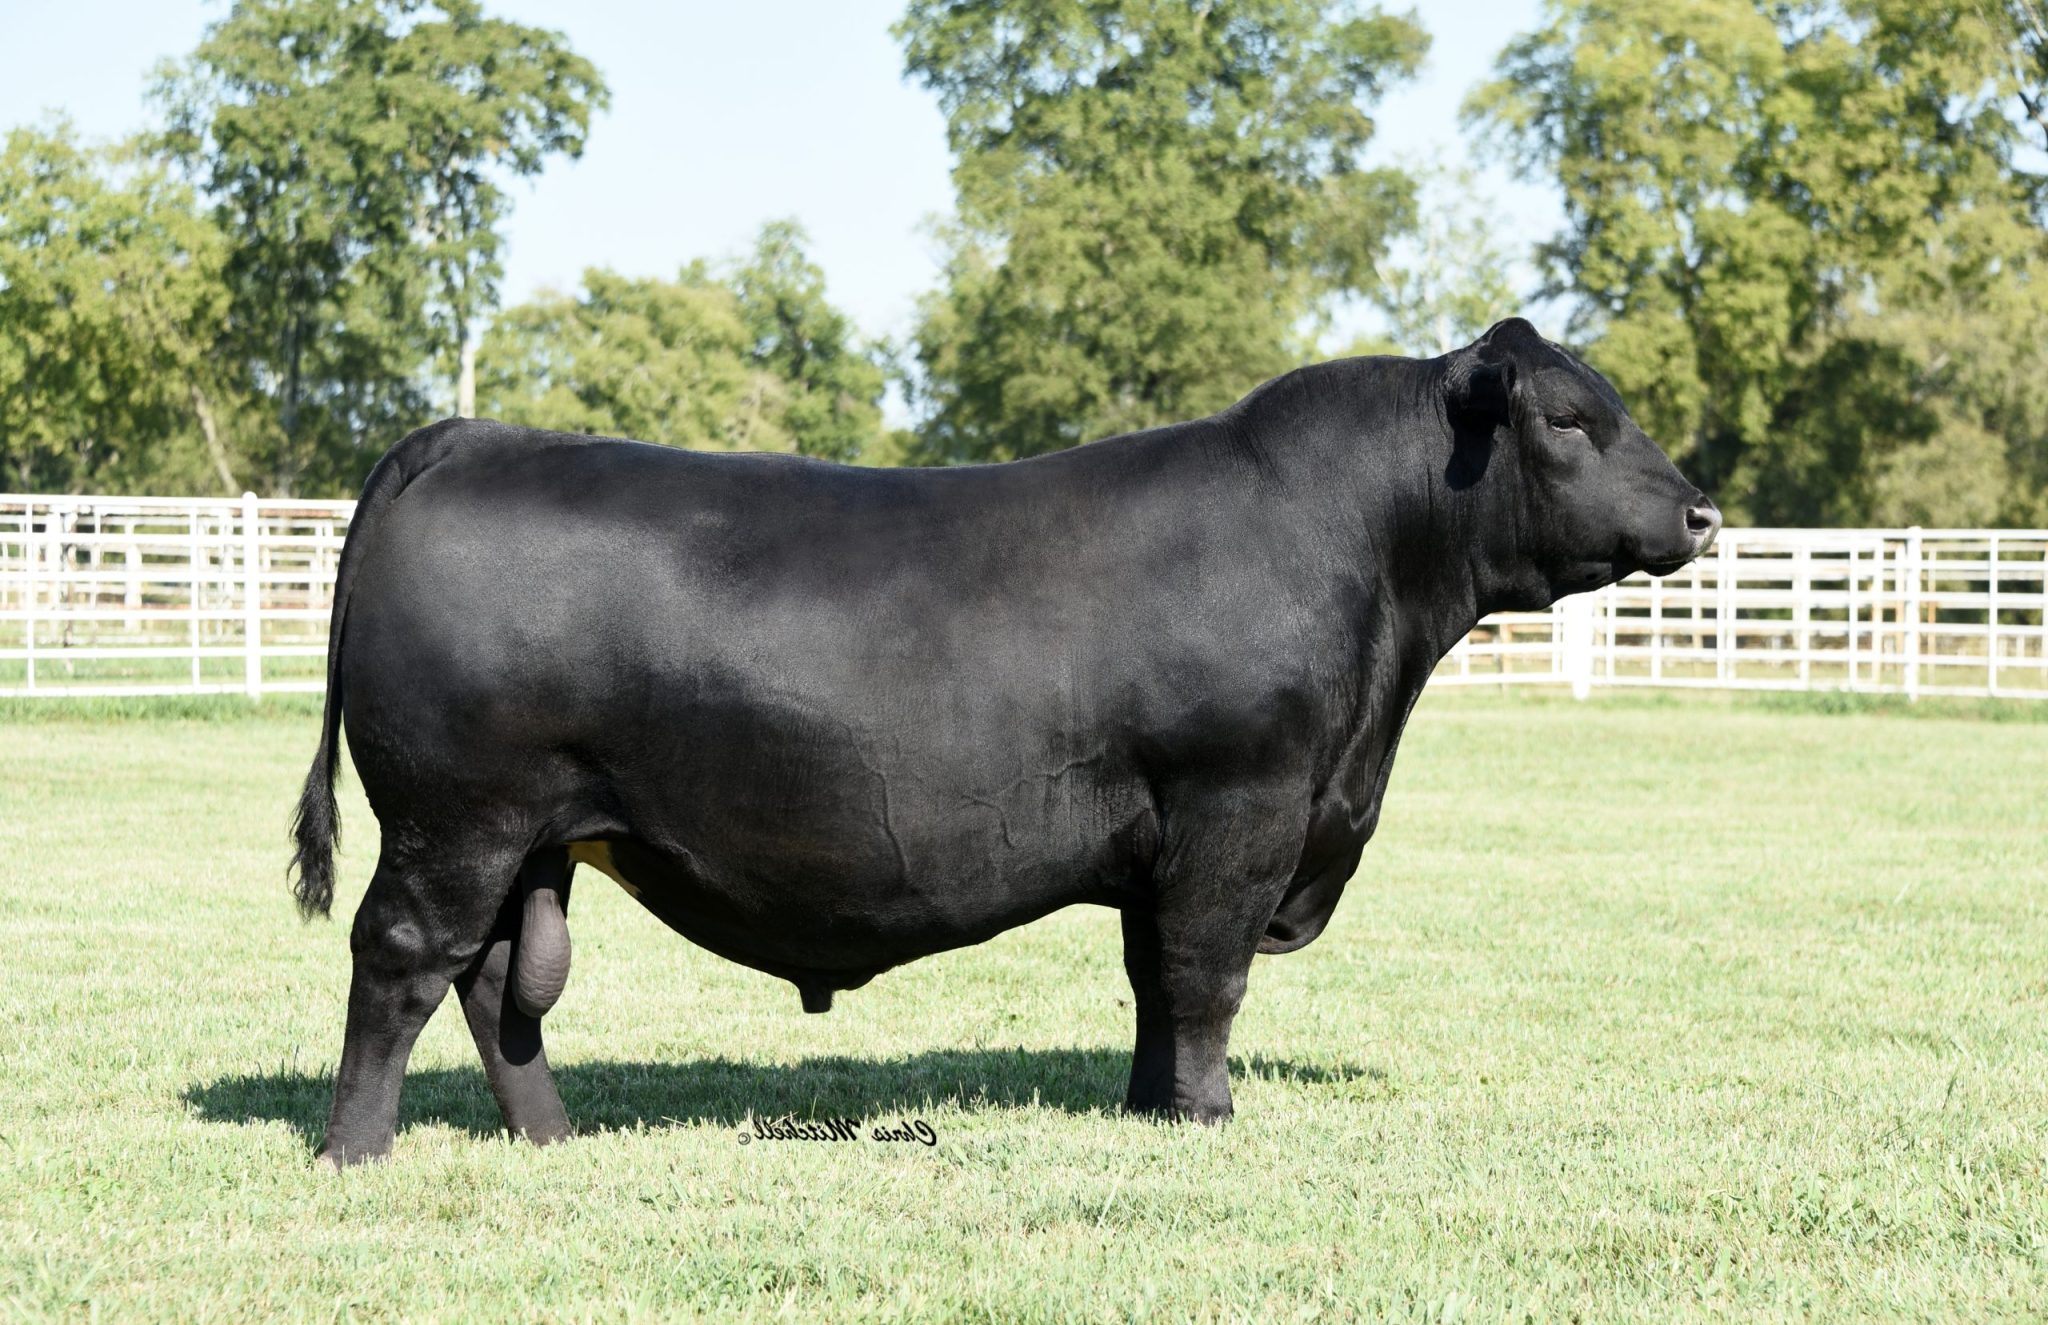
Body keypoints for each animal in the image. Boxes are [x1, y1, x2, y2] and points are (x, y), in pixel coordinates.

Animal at [289, 317, 1719, 1166]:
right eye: (1566, 418)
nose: (1702, 512)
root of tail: (471, 435)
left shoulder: (1172, 837)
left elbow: (1153, 980)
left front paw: (1152, 1106)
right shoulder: (1240, 807)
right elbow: (1205, 975)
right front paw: (1208, 1116)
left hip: (534, 834)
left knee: (496, 986)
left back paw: (551, 1135)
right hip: (457, 815)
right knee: (401, 958)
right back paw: (356, 1145)